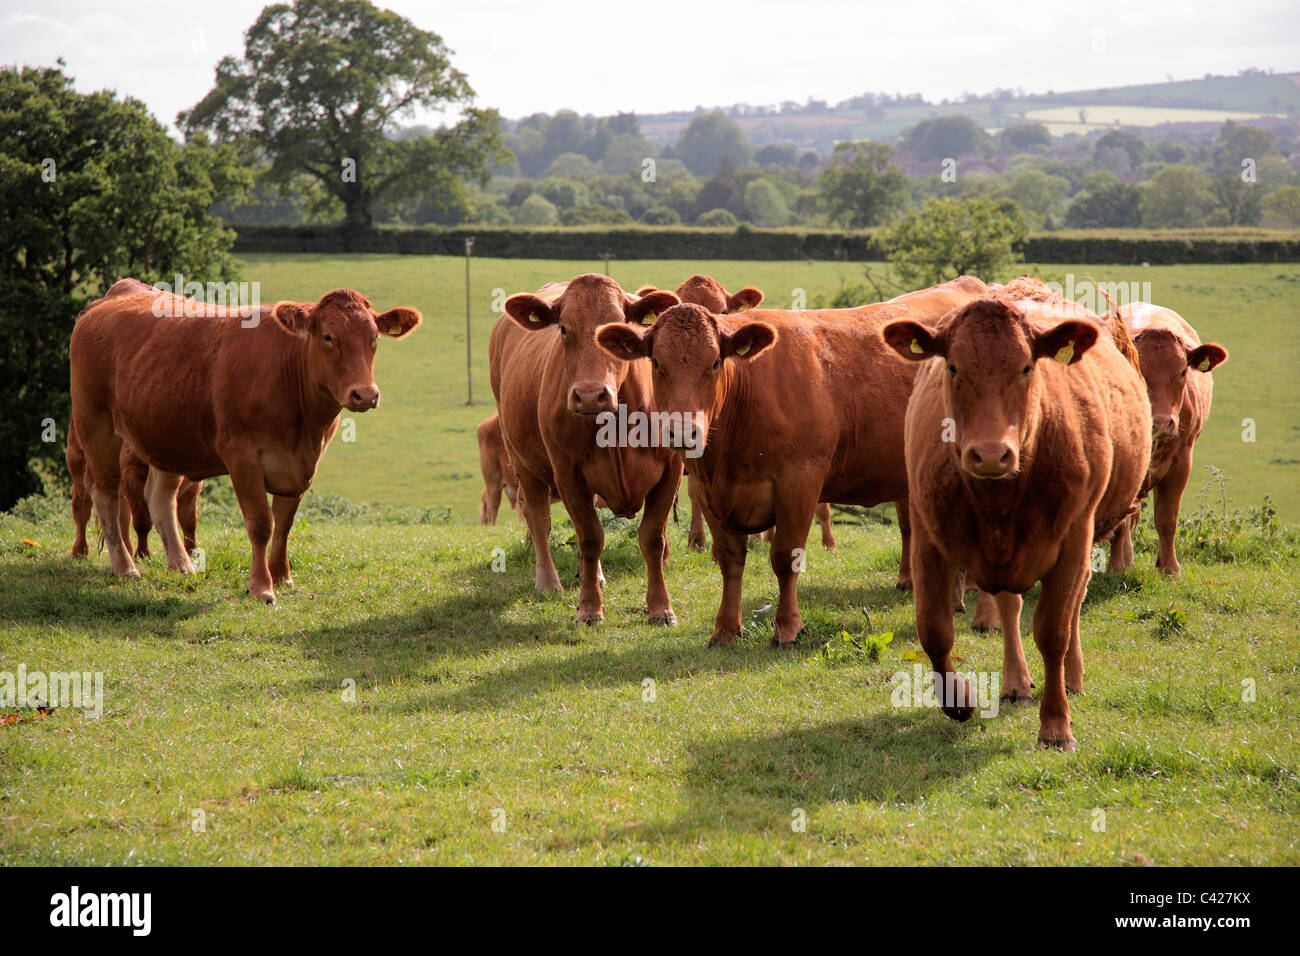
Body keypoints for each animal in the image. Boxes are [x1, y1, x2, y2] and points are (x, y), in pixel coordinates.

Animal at [68, 430, 202, 559]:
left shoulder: (193, 486)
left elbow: (189, 520)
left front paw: (192, 551)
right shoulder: (133, 476)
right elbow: (142, 521)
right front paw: (143, 554)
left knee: (121, 515)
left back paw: (127, 550)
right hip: (78, 461)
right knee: (81, 507)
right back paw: (79, 551)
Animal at [490, 274, 683, 624]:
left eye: (618, 328)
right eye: (564, 328)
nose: (591, 394)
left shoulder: (670, 471)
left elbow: (652, 538)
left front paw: (661, 608)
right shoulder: (567, 473)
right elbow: (591, 536)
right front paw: (590, 608)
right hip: (520, 459)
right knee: (537, 517)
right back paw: (548, 581)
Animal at [595, 276, 989, 648]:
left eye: (715, 362)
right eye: (656, 363)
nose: (681, 431)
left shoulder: (799, 481)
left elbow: (785, 557)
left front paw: (786, 629)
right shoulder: (710, 492)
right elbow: (730, 559)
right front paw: (725, 630)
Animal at [881, 282, 1151, 748]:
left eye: (1027, 367)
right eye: (952, 367)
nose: (990, 454)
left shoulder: (1073, 539)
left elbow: (1053, 631)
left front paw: (1056, 725)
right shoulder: (927, 538)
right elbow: (933, 629)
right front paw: (958, 702)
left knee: (1073, 606)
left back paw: (1072, 677)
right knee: (1010, 607)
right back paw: (1015, 683)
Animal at [1105, 302, 1228, 577]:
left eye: (1182, 371)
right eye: (1137, 369)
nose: (1161, 422)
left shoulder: (1181, 463)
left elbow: (1167, 519)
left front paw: (1170, 568)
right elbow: (1119, 522)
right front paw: (1116, 567)